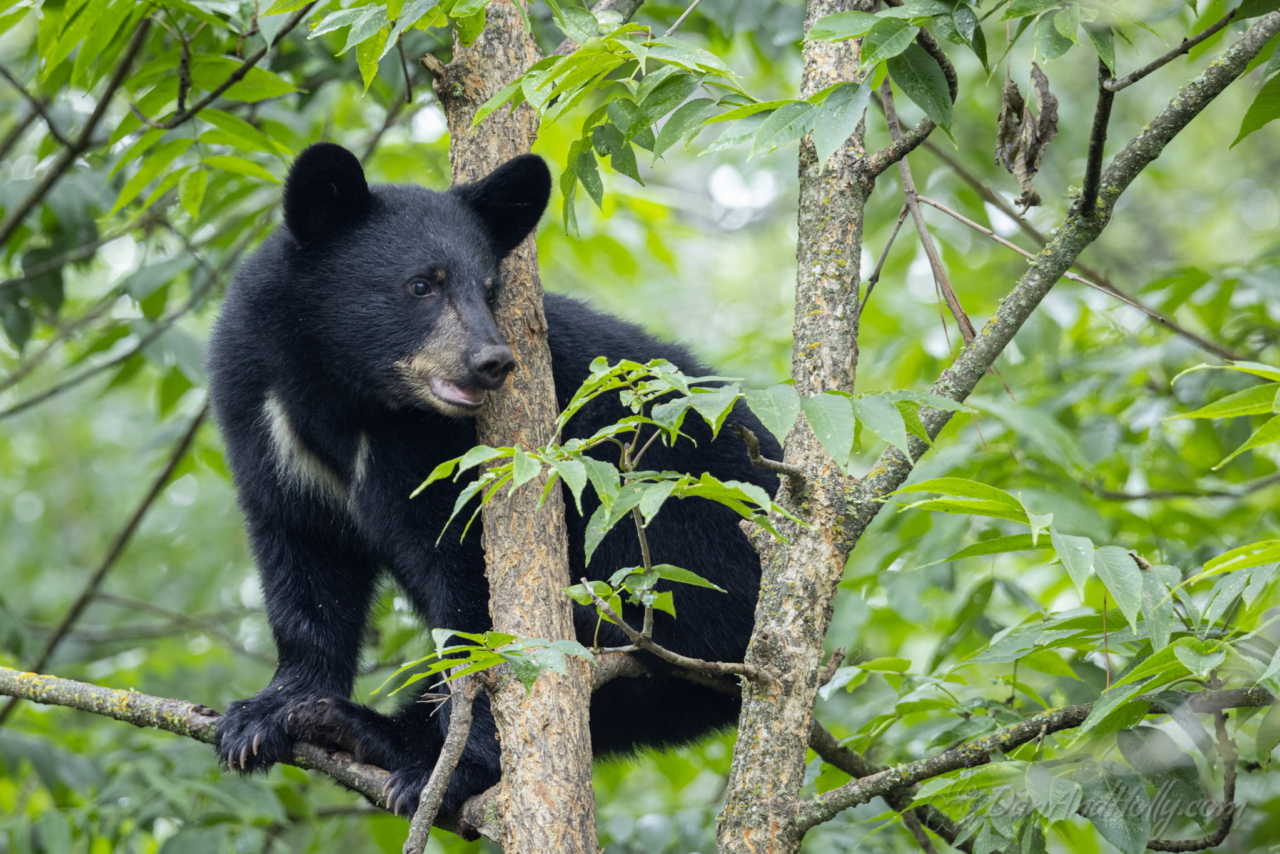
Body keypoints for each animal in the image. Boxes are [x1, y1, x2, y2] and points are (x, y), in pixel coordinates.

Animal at [206, 141, 780, 818]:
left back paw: (381, 736)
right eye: (422, 284)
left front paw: (451, 767)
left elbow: (477, 599)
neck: (348, 397)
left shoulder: (447, 458)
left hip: (681, 554)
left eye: (487, 288)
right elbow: (304, 565)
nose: (492, 361)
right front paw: (262, 715)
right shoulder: (264, 416)